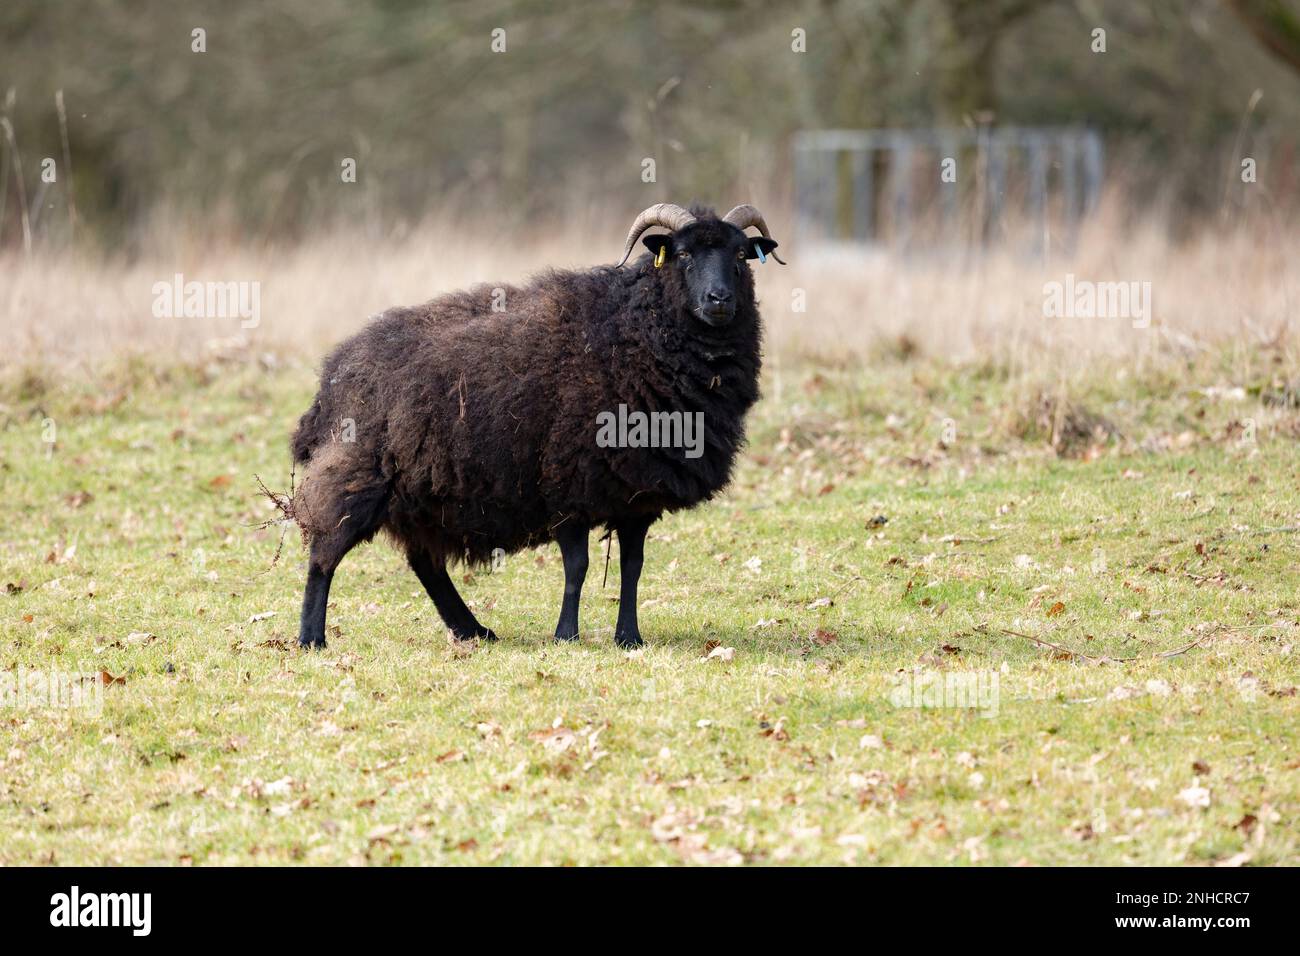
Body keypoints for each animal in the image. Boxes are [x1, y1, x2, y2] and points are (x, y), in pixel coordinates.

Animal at [290, 203, 782, 649]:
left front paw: (629, 638)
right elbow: (577, 567)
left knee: (425, 564)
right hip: (360, 470)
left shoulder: (636, 491)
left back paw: (473, 630)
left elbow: (633, 567)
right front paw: (567, 635)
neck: (632, 331)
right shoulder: (568, 481)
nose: (719, 300)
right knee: (325, 551)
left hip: (422, 489)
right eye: (682, 254)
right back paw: (312, 638)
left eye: (741, 255)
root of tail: (333, 375)